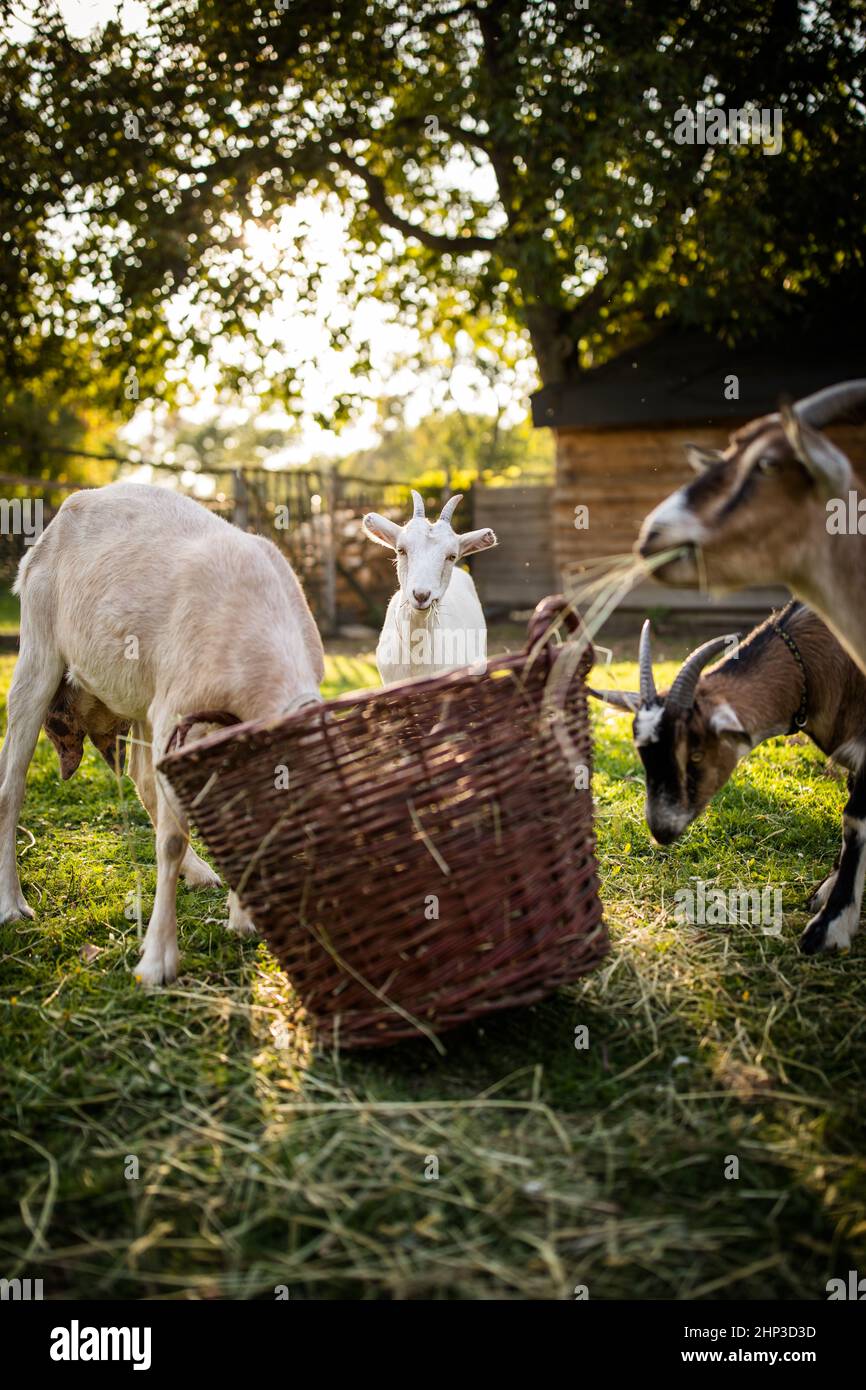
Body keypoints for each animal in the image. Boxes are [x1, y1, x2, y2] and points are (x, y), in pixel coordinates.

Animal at [0, 482, 324, 985]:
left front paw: (241, 919)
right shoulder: (178, 712)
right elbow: (172, 839)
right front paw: (157, 961)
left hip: (142, 698)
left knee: (142, 779)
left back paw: (199, 872)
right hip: (39, 645)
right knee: (11, 785)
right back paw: (13, 906)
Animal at [592, 603, 866, 952]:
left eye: (695, 755)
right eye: (644, 756)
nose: (661, 830)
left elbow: (854, 821)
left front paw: (829, 928)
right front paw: (826, 890)